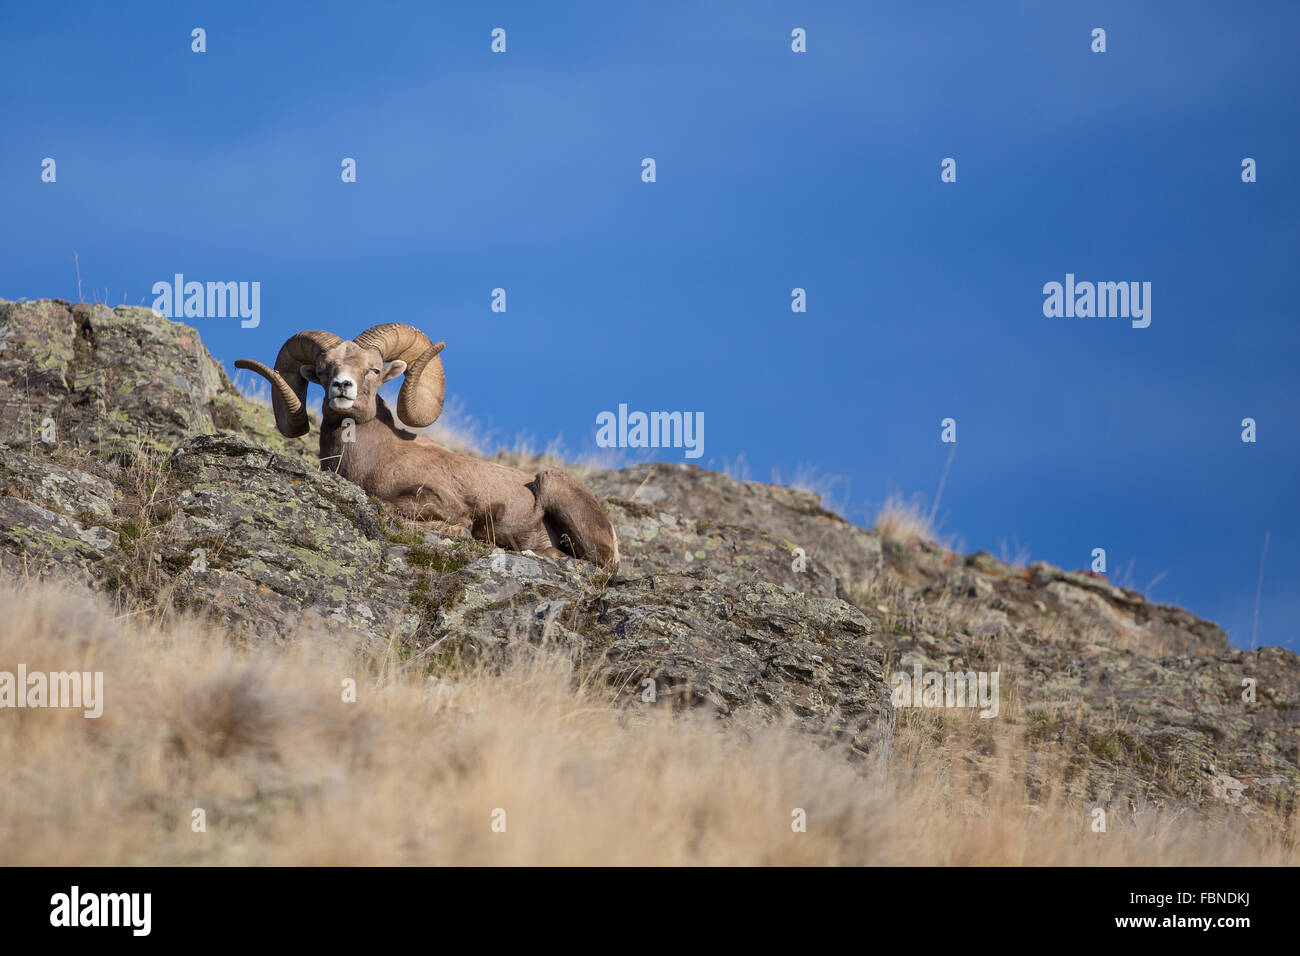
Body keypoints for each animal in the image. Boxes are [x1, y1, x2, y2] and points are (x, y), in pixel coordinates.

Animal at [235, 324, 619, 570]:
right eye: (324, 369)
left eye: (373, 369)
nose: (341, 387)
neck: (375, 459)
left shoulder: (440, 502)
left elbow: (398, 510)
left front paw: (459, 533)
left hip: (552, 485)